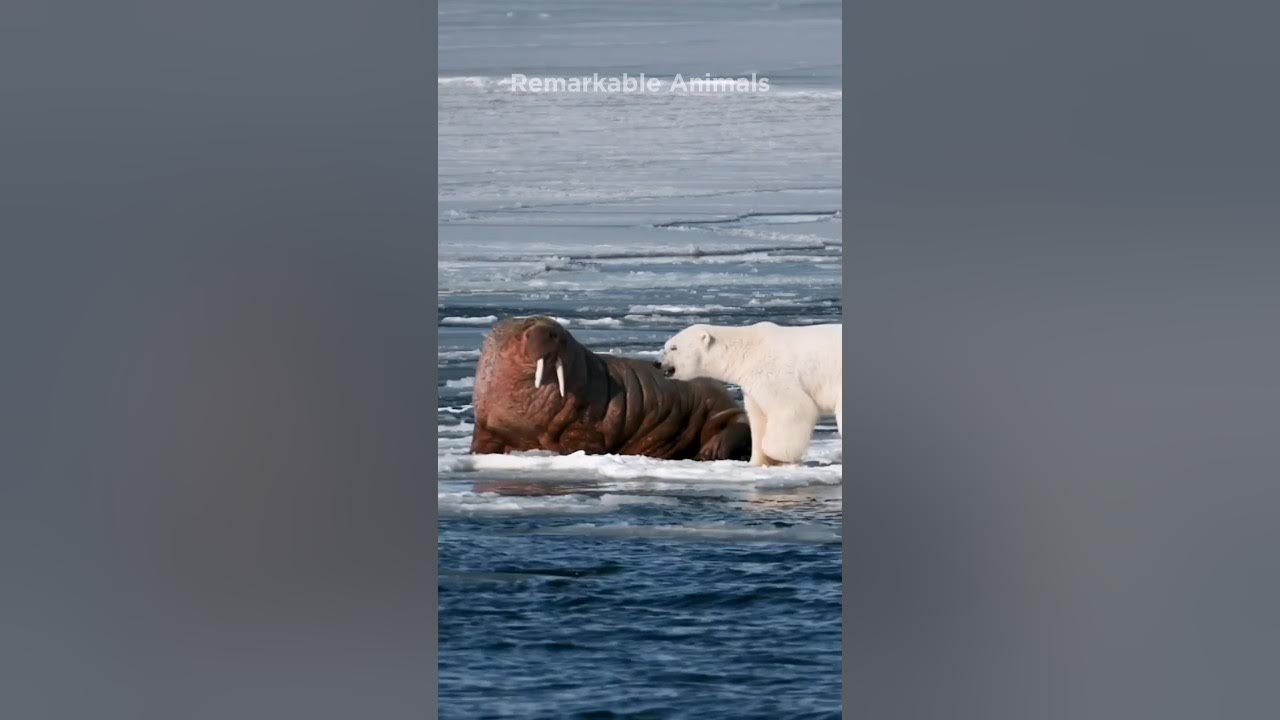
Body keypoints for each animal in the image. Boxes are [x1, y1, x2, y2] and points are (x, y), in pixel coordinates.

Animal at [658, 321, 841, 466]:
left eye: (674, 347)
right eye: (665, 348)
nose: (662, 366)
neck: (747, 351)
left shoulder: (772, 371)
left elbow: (793, 407)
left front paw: (774, 451)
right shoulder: (752, 384)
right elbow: (758, 418)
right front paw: (758, 460)